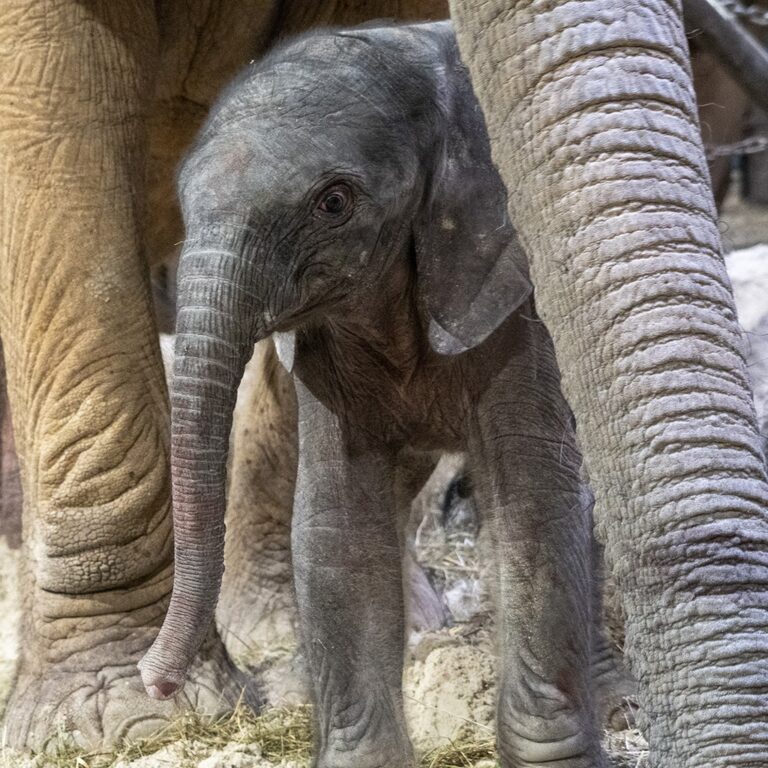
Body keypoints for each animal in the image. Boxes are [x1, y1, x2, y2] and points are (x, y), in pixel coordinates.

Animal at [1, 0, 767, 765]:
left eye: (334, 203)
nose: (156, 679)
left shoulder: (510, 298)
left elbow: (535, 507)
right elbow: (338, 526)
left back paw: (611, 699)